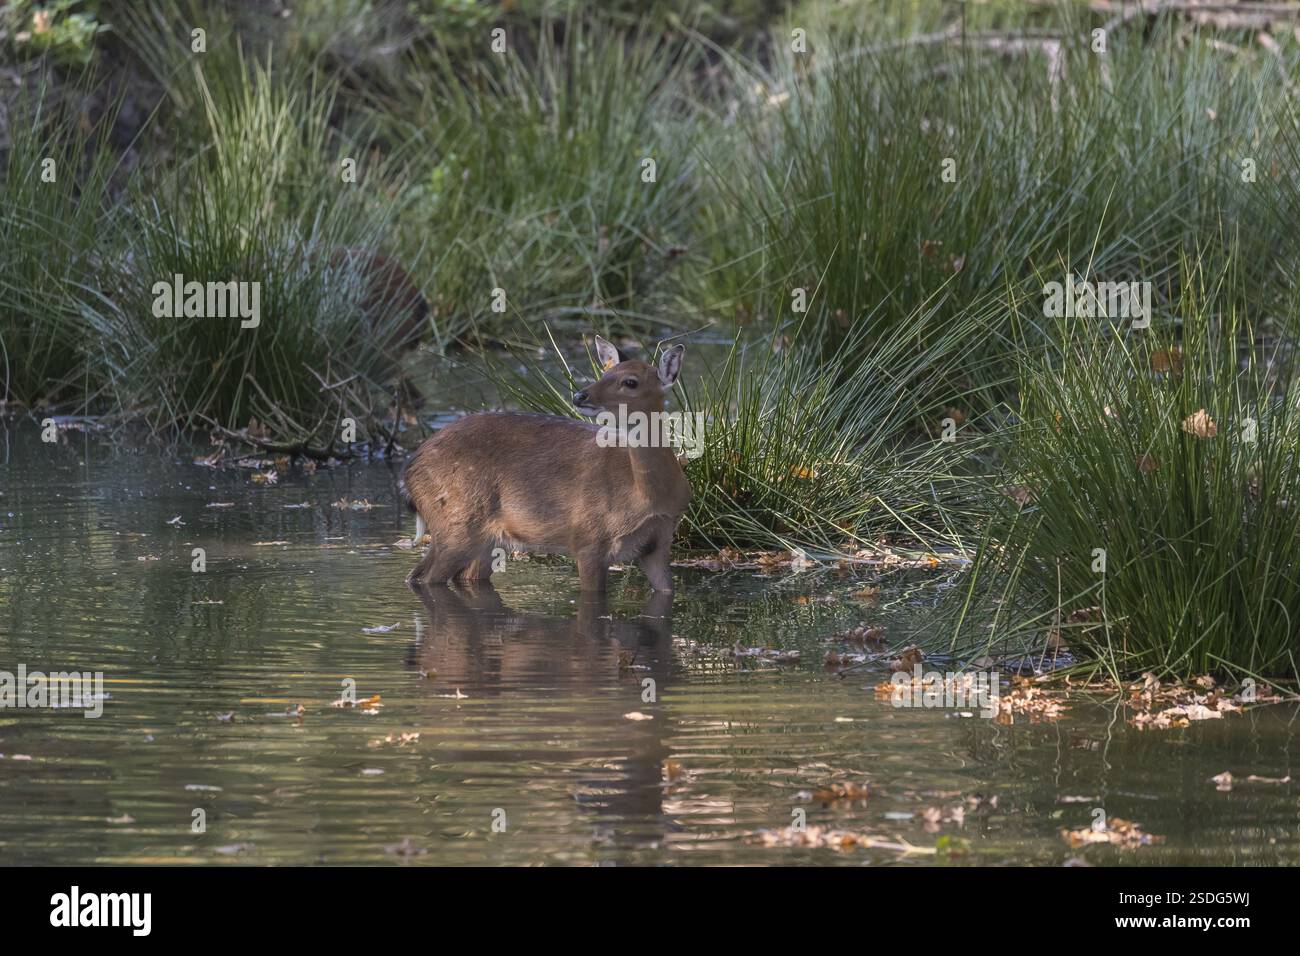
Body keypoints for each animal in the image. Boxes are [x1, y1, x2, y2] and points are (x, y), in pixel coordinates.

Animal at [400, 336, 691, 592]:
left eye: (630, 381)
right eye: (604, 373)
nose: (580, 396)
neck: (644, 495)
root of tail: (412, 466)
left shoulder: (660, 542)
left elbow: (668, 591)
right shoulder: (588, 539)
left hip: (485, 540)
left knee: (455, 575)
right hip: (455, 524)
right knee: (423, 577)